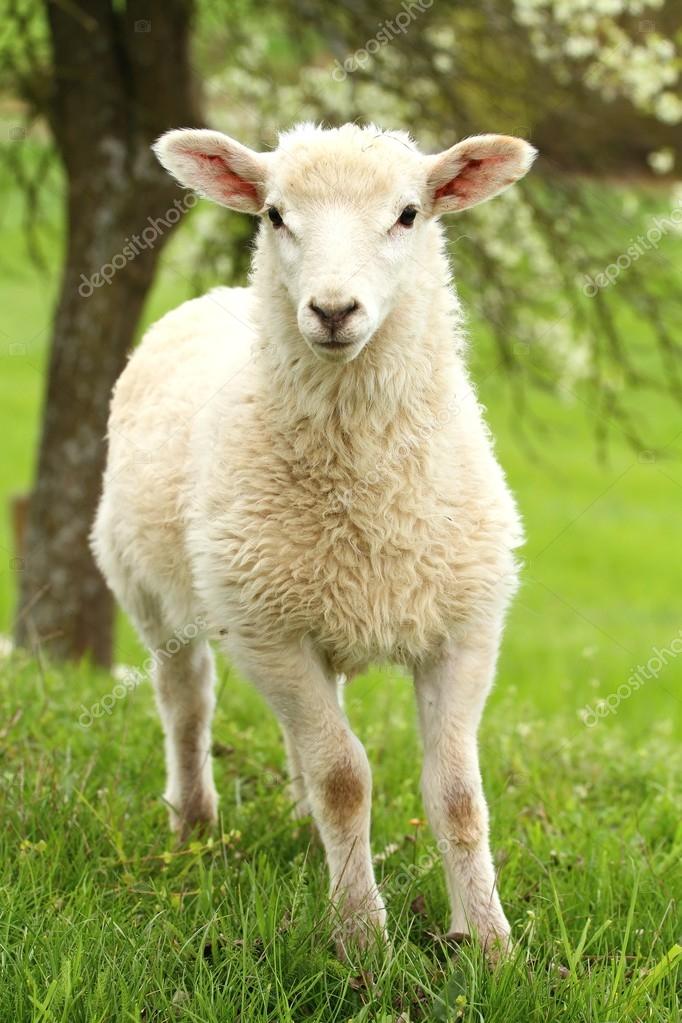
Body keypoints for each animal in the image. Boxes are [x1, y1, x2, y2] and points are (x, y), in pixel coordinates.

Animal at [92, 122, 536, 961]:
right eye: (274, 214)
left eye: (408, 213)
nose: (332, 310)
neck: (367, 492)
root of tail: (219, 297)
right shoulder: (268, 632)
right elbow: (346, 780)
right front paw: (361, 935)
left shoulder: (464, 627)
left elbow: (456, 792)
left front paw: (490, 944)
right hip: (152, 586)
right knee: (187, 701)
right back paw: (194, 822)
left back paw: (303, 828)